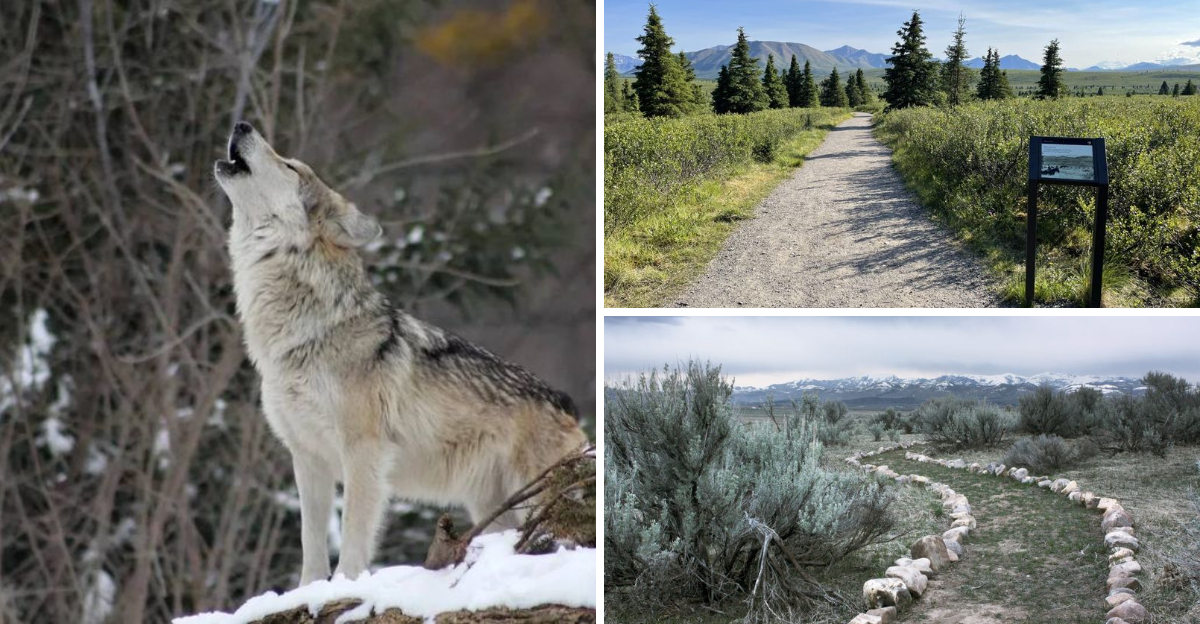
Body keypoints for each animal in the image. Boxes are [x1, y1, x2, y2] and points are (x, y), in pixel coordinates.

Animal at [213, 122, 588, 585]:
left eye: (290, 165)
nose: (242, 124)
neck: (304, 333)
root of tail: (566, 402)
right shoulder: (307, 457)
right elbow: (311, 543)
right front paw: (308, 591)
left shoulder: (364, 451)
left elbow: (353, 534)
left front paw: (345, 586)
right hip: (493, 509)